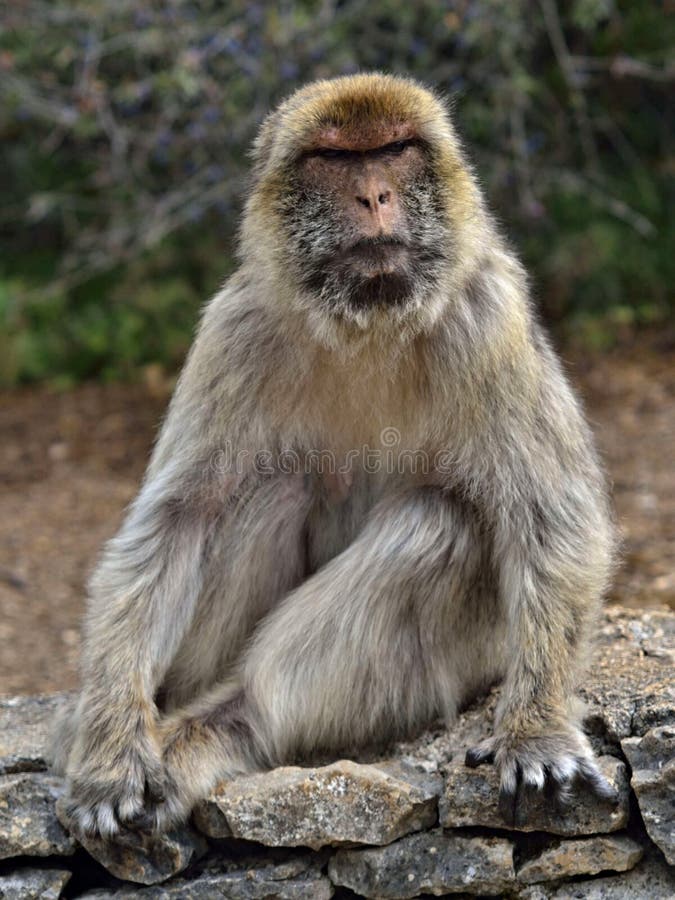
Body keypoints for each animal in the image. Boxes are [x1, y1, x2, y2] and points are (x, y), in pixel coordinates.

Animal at [53, 72, 617, 837]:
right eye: (334, 158)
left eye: (394, 150)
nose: (373, 196)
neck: (367, 325)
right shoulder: (234, 331)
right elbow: (173, 524)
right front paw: (110, 746)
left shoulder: (486, 317)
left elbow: (552, 522)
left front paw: (537, 732)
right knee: (267, 490)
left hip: (469, 657)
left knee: (436, 525)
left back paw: (238, 722)